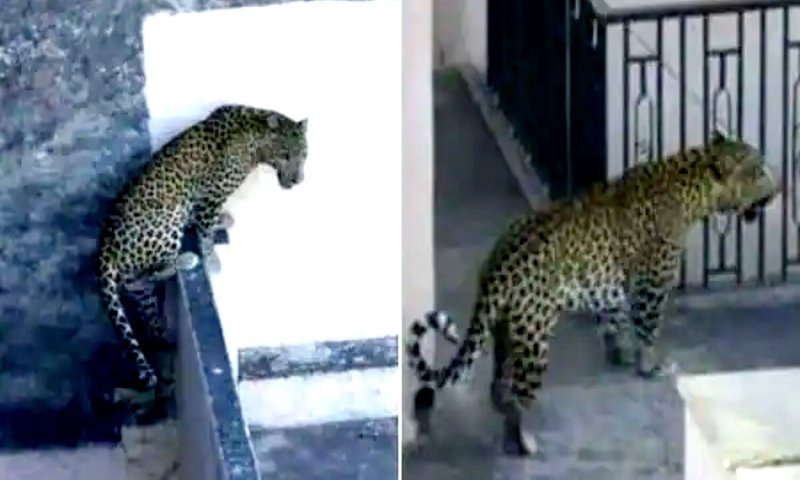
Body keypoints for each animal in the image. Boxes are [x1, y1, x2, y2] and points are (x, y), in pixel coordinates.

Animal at [97, 105, 308, 391]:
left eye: (304, 155)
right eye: (286, 154)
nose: (299, 180)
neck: (255, 135)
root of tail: (105, 246)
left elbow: (204, 220)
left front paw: (222, 222)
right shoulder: (211, 195)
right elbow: (206, 230)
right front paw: (211, 259)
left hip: (137, 283)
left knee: (142, 293)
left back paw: (164, 335)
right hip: (168, 215)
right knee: (158, 268)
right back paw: (187, 260)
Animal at [405, 131, 780, 456]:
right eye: (758, 171)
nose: (778, 188)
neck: (696, 188)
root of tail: (497, 261)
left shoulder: (609, 285)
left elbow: (613, 319)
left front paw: (620, 355)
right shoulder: (652, 284)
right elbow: (647, 327)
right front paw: (650, 366)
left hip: (506, 329)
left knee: (499, 385)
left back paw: (504, 413)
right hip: (534, 337)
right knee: (520, 397)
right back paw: (523, 444)